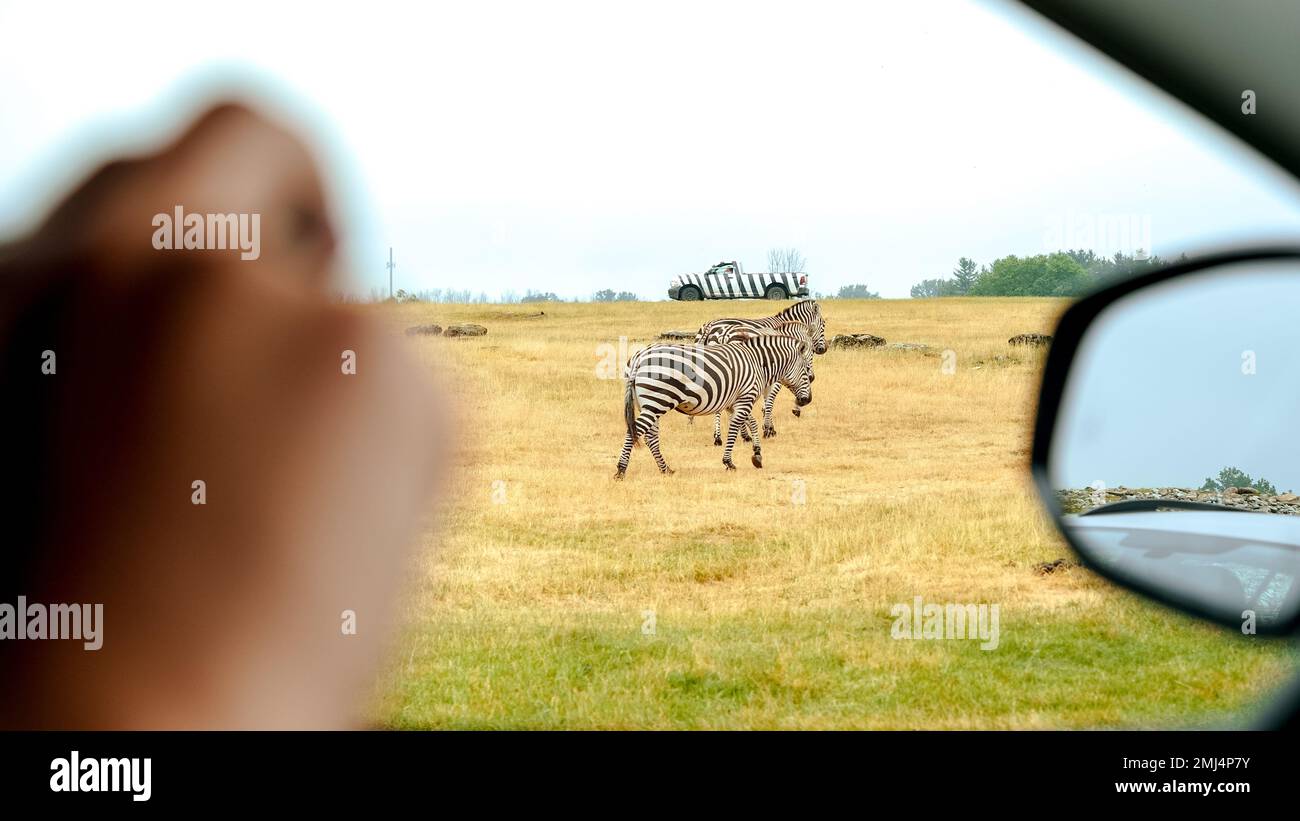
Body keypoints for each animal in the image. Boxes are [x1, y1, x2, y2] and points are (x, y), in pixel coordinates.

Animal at [615, 330, 813, 479]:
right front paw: (729, 462)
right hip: (657, 401)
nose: (807, 400)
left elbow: (752, 423)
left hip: (648, 403)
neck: (757, 362)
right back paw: (621, 470)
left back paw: (665, 469)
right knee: (635, 431)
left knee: (651, 436)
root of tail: (639, 357)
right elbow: (734, 428)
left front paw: (757, 454)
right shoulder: (745, 398)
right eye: (806, 371)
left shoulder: (736, 401)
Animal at [694, 300, 827, 440]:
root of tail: (711, 326)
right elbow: (770, 401)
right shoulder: (776, 378)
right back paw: (741, 435)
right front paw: (768, 429)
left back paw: (718, 436)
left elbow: (766, 401)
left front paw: (768, 426)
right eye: (823, 324)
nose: (823, 349)